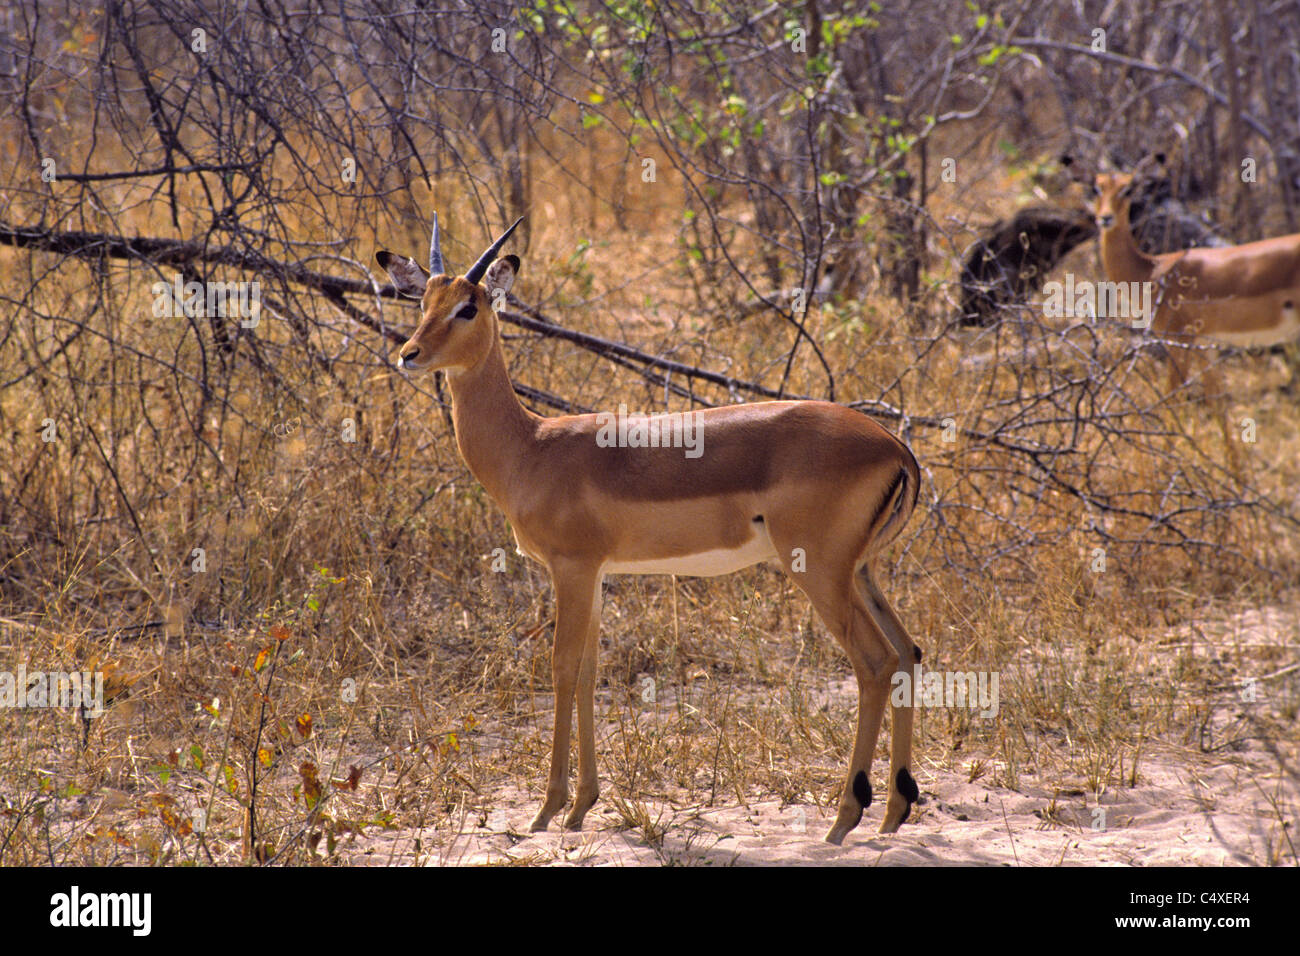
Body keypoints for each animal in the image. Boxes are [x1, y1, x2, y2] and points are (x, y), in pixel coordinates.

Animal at [376, 216, 924, 843]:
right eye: (423, 300)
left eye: (468, 307)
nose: (410, 354)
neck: (530, 447)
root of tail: (895, 446)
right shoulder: (596, 576)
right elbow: (589, 673)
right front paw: (581, 807)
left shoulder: (571, 569)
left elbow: (562, 669)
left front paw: (546, 811)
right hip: (861, 571)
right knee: (907, 651)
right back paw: (894, 813)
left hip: (820, 571)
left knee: (874, 663)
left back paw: (843, 819)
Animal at [1093, 157, 1300, 391]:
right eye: (1097, 188)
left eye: (1127, 189)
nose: (1105, 218)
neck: (1151, 270)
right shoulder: (1204, 345)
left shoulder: (1179, 341)